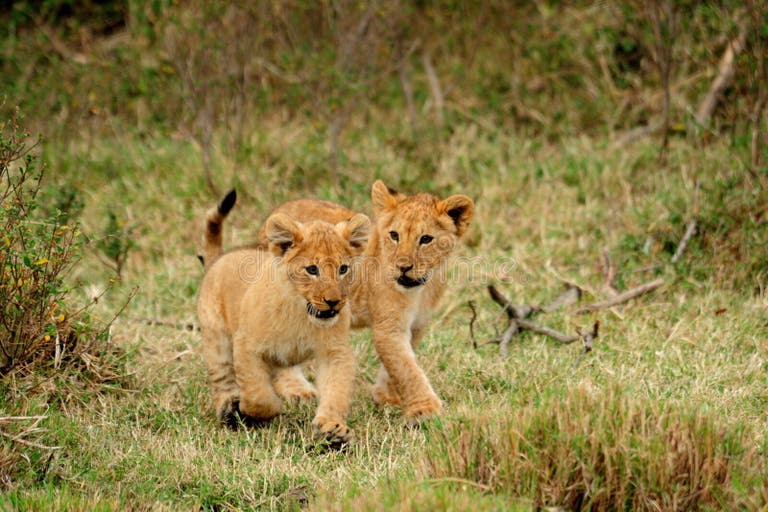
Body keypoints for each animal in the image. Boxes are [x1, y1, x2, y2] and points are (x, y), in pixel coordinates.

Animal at [197, 189, 370, 445]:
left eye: (343, 269)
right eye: (312, 270)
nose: (333, 301)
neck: (300, 313)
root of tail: (219, 259)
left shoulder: (334, 352)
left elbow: (336, 391)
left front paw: (333, 430)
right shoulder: (247, 347)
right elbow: (257, 394)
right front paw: (261, 410)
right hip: (216, 338)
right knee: (222, 378)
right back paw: (229, 411)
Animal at [256, 181, 474, 422]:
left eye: (425, 239)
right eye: (394, 235)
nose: (403, 267)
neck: (422, 289)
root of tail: (274, 215)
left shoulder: (417, 325)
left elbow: (397, 364)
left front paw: (386, 397)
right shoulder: (388, 327)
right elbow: (407, 369)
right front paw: (426, 409)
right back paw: (296, 389)